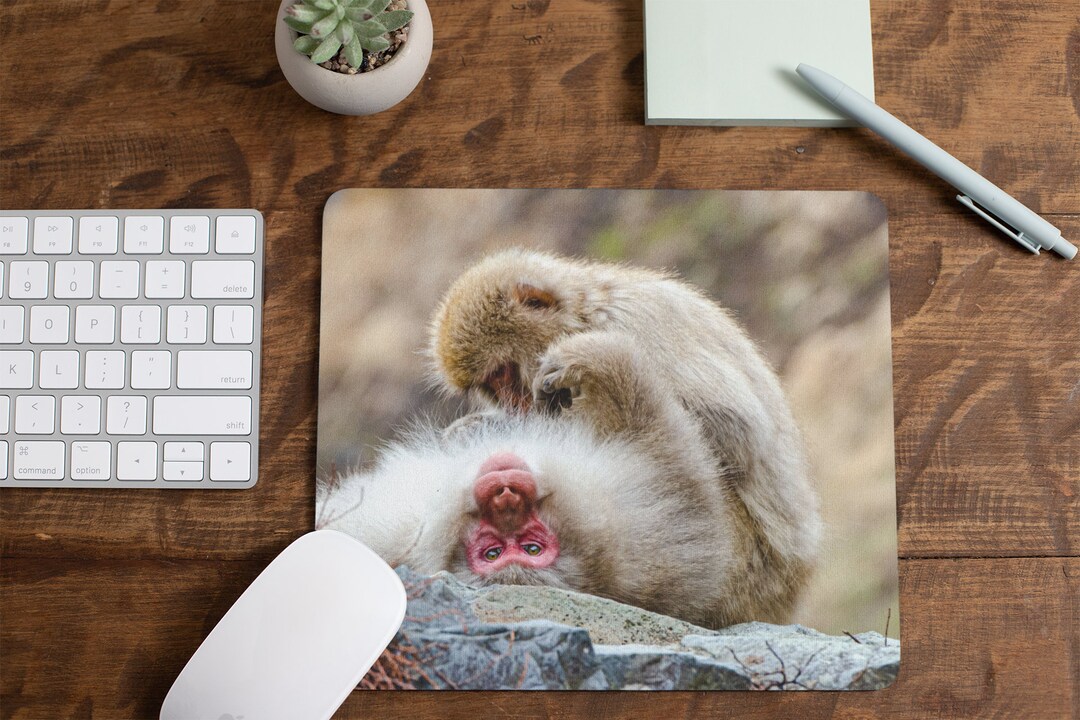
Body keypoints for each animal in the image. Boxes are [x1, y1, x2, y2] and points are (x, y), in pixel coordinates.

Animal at [320, 331, 790, 629]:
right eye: (493, 552)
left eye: (531, 548)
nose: (505, 496)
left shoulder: (649, 537)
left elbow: (664, 449)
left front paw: (593, 361)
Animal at [428, 249, 822, 623]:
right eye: (491, 386)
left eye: (503, 373)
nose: (513, 401)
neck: (585, 314)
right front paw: (480, 427)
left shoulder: (634, 323)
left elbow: (736, 433)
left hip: (744, 570)